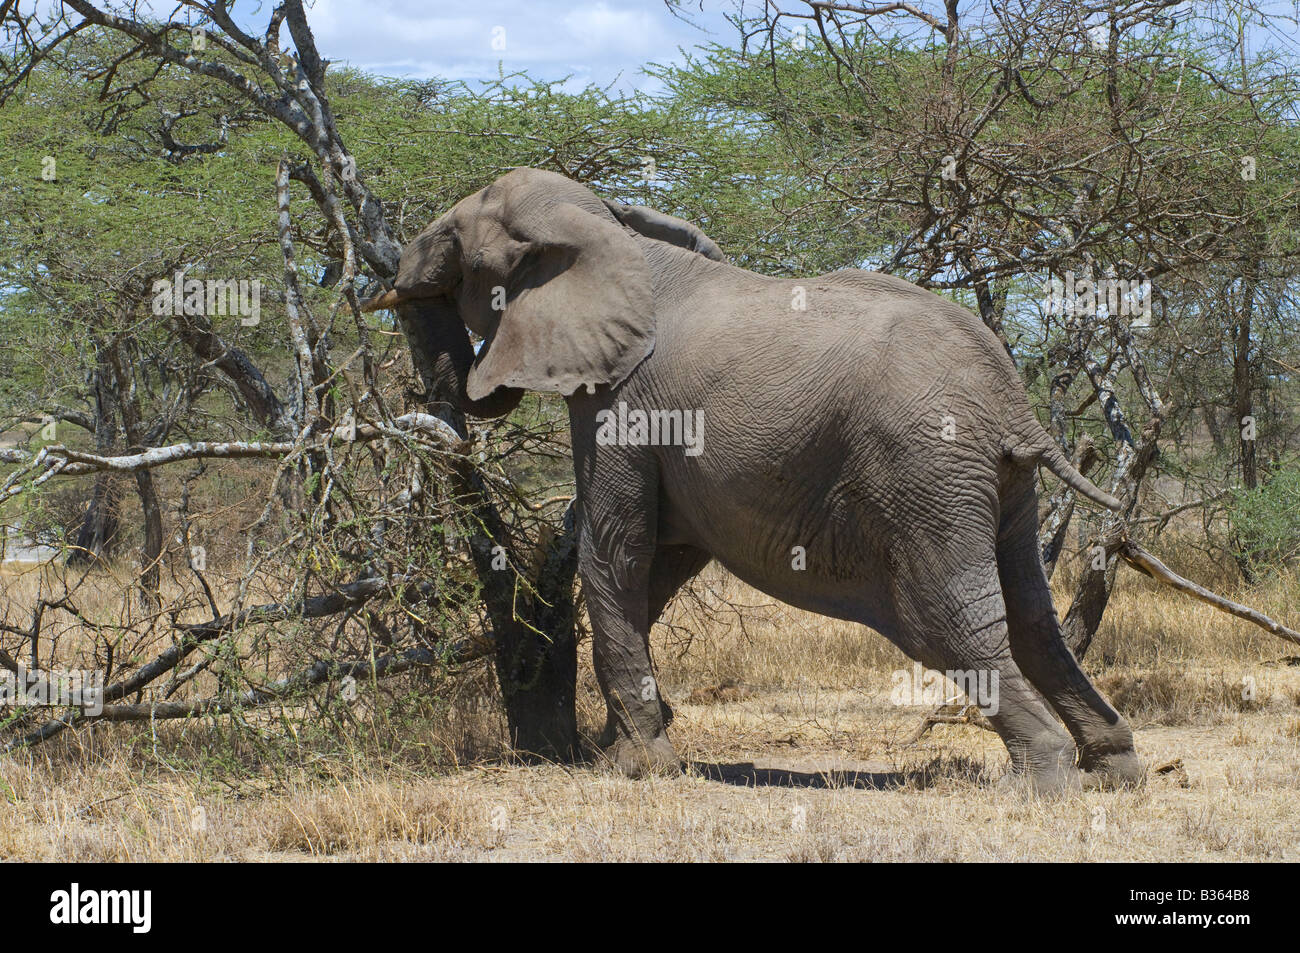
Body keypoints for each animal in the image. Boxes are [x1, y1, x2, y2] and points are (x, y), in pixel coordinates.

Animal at [362, 166, 1143, 793]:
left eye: (457, 243)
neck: (599, 224)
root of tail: (1013, 402)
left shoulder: (623, 402)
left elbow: (616, 552)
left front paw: (636, 767)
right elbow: (661, 563)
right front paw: (627, 744)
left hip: (923, 470)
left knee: (946, 618)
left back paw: (1039, 783)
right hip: (993, 483)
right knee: (1030, 612)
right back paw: (1115, 770)